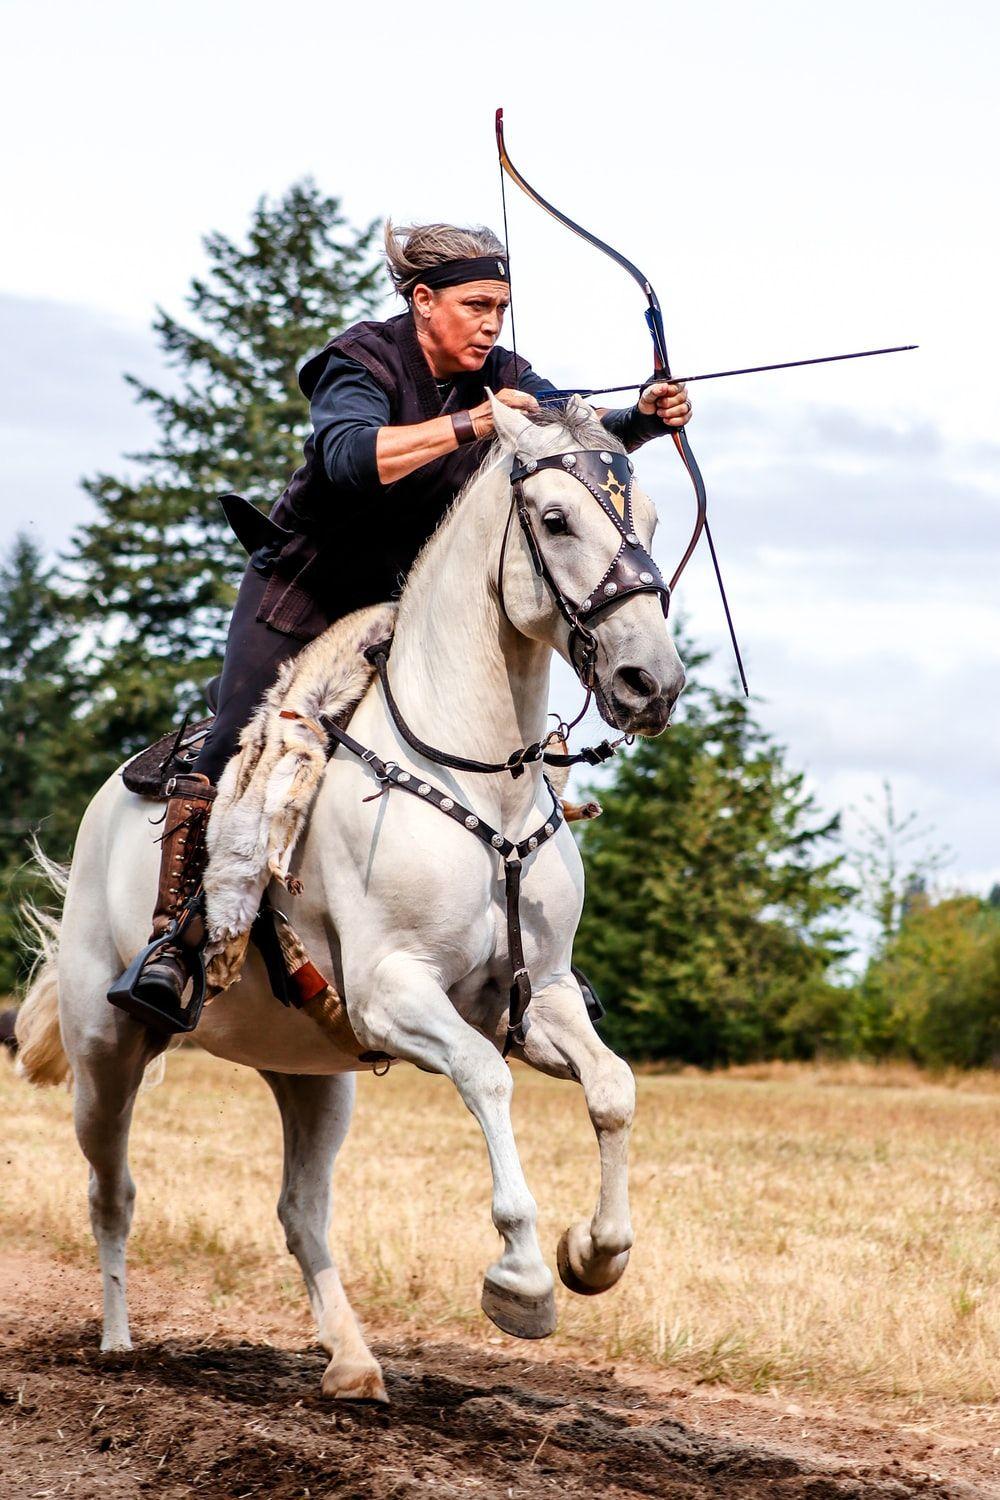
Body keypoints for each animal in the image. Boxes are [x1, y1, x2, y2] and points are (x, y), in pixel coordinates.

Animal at [15, 394, 685, 1402]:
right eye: (556, 518)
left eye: (649, 520)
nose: (652, 682)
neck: (479, 782)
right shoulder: (394, 991)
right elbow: (487, 1078)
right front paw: (523, 1279)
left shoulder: (543, 996)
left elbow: (613, 1087)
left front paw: (594, 1254)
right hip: (107, 1050)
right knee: (112, 1191)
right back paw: (120, 1345)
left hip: (310, 1073)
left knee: (300, 1209)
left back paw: (352, 1360)